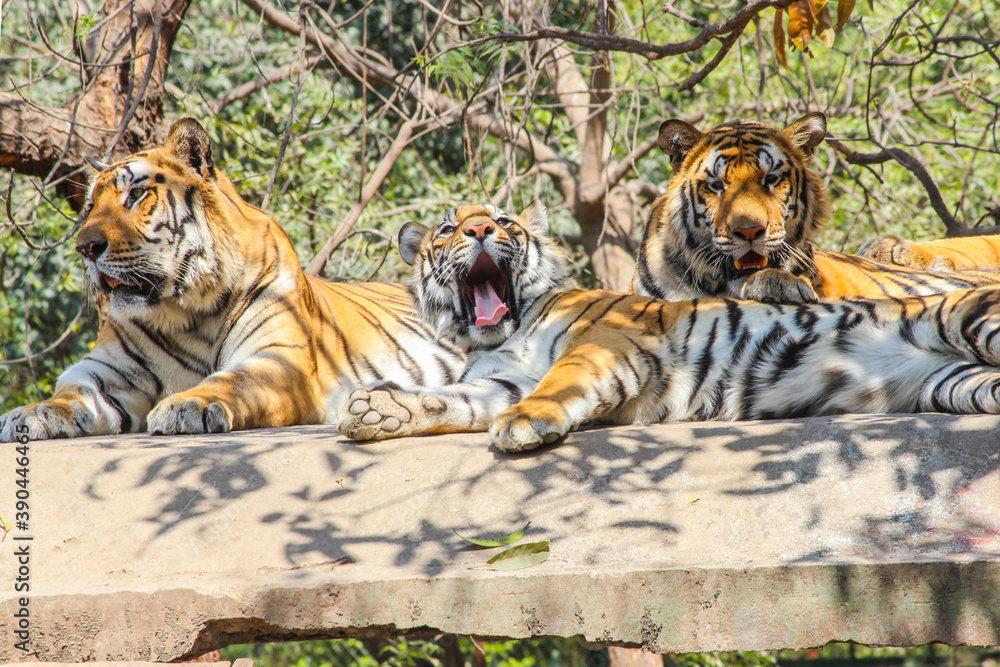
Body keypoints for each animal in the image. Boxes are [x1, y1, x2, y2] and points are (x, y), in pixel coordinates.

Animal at [0, 118, 465, 442]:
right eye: (90, 206)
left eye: (136, 194)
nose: (85, 247)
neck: (184, 310)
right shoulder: (108, 370)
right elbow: (73, 390)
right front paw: (31, 414)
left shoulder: (278, 358)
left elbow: (233, 379)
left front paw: (188, 404)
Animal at [338, 201, 1000, 453]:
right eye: (450, 229)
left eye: (502, 221)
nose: (478, 231)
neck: (500, 332)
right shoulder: (499, 380)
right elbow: (450, 400)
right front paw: (378, 411)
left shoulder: (604, 339)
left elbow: (557, 383)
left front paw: (524, 426)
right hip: (959, 384)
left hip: (973, 319)